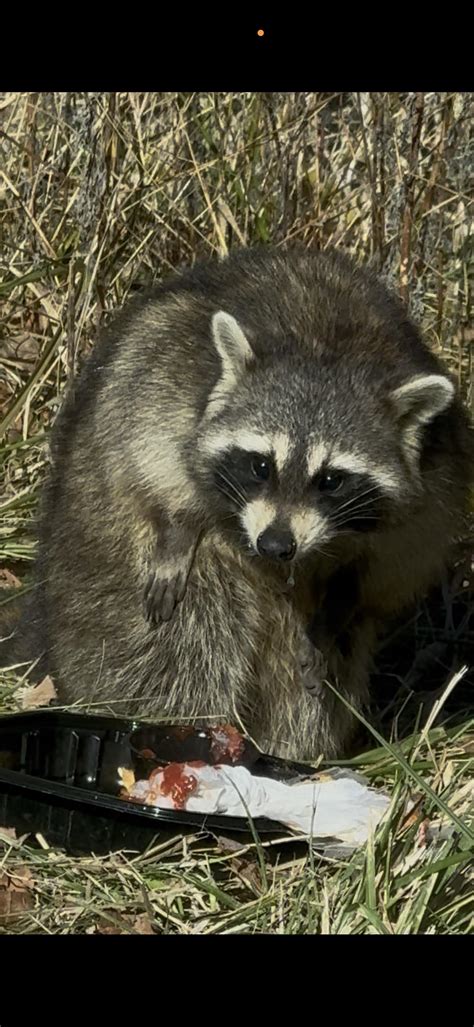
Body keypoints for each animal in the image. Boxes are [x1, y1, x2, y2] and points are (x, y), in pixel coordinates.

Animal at [4, 246, 472, 760]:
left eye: (331, 480)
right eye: (260, 466)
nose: (275, 546)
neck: (329, 351)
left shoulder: (439, 470)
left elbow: (397, 561)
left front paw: (342, 599)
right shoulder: (166, 370)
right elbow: (146, 443)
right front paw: (179, 522)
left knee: (313, 690)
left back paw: (293, 749)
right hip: (103, 566)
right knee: (187, 639)